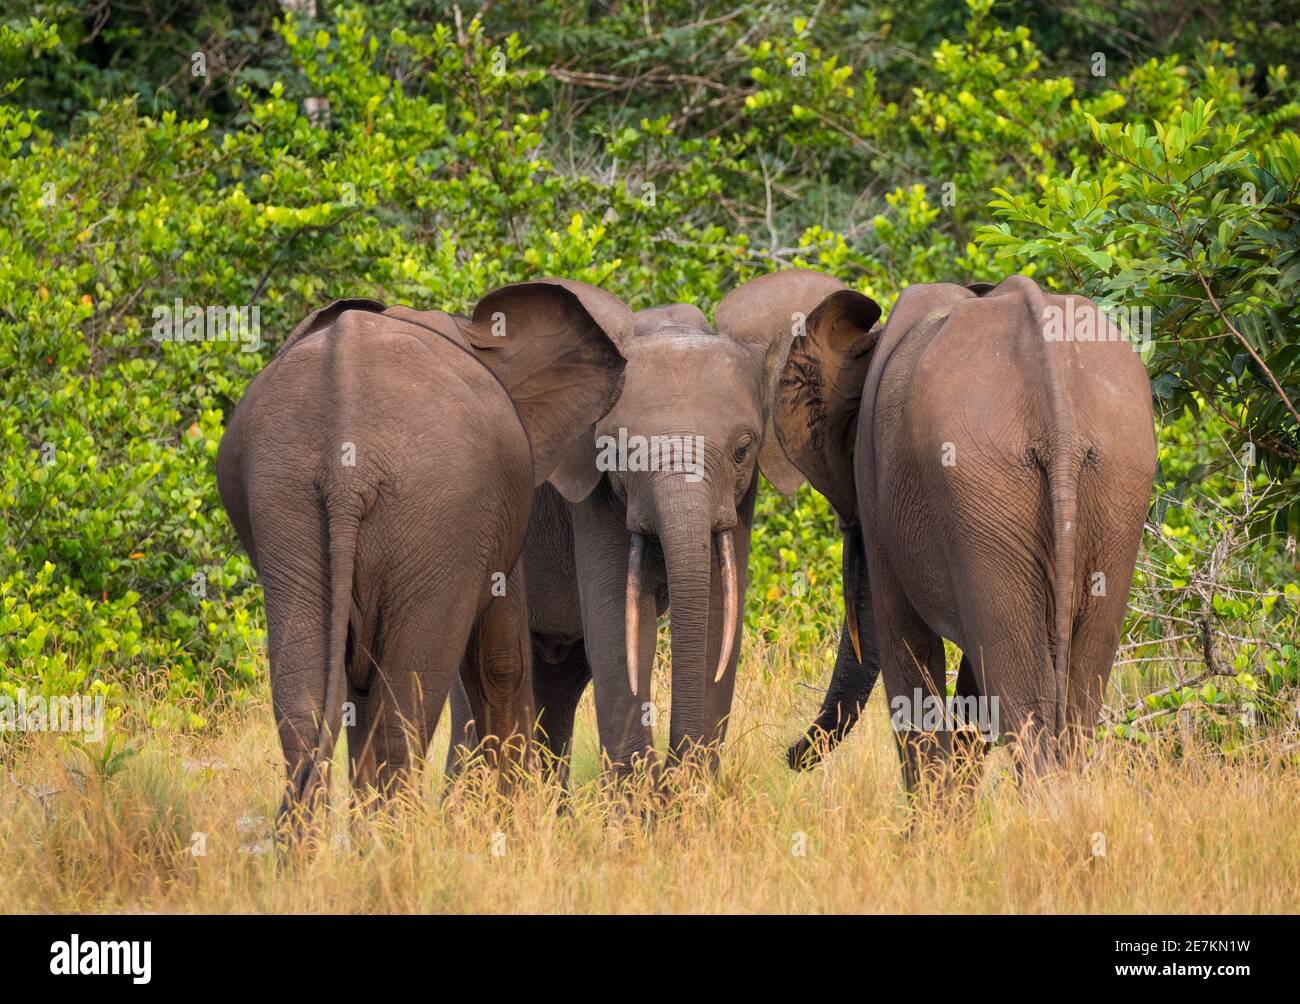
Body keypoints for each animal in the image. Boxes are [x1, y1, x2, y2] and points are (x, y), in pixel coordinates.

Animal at [216, 279, 628, 825]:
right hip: (438, 510)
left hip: (285, 503)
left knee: (308, 703)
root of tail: (346, 461)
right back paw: (397, 838)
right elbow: (501, 660)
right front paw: (513, 822)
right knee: (406, 702)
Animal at [447, 270, 848, 781]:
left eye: (743, 449)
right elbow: (618, 622)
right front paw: (641, 800)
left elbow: (718, 617)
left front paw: (691, 794)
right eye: (617, 452)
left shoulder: (740, 497)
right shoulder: (591, 493)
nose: (673, 774)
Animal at [774, 274, 1157, 789]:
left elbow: (905, 645)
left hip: (989, 485)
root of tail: (1056, 408)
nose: (785, 755)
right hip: (1110, 483)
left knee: (1028, 703)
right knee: (1074, 695)